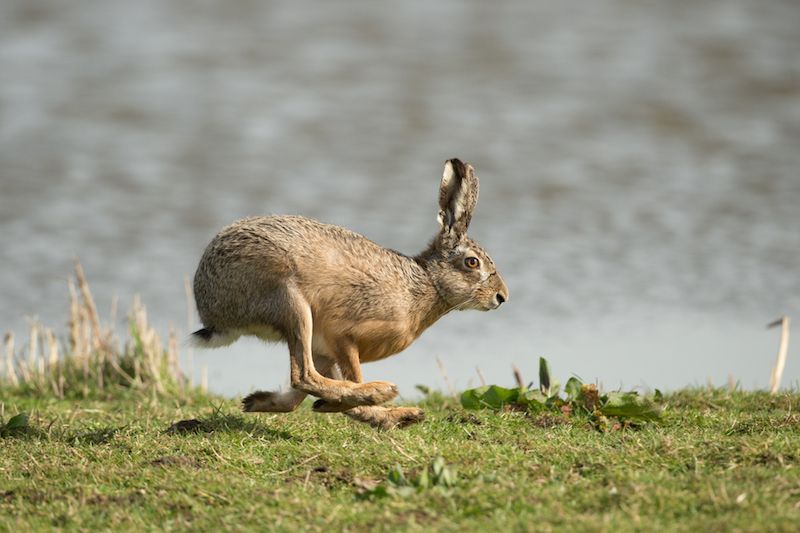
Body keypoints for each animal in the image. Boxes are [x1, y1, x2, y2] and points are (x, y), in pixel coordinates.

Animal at [191, 158, 509, 429]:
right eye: (472, 262)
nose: (501, 297)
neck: (427, 282)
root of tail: (209, 306)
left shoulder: (326, 349)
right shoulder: (343, 335)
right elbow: (351, 376)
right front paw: (370, 400)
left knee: (300, 386)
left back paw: (261, 401)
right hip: (292, 302)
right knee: (303, 375)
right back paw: (383, 393)